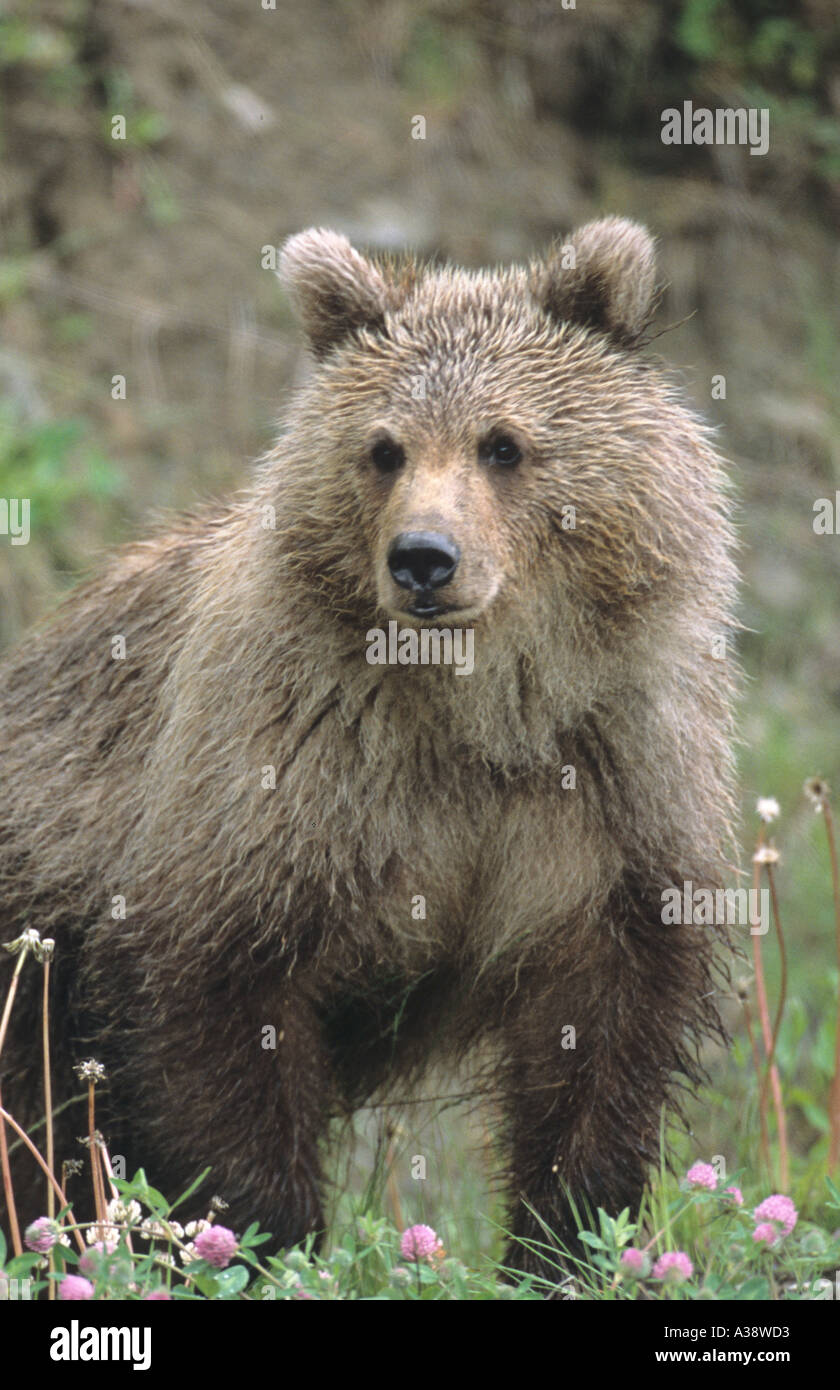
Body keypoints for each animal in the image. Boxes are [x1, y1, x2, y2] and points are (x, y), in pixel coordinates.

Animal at [0, 217, 738, 1281]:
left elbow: (597, 1040)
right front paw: (264, 1239)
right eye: (384, 449)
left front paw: (565, 1243)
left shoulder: (611, 790)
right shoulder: (286, 773)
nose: (424, 558)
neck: (480, 707)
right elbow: (225, 1015)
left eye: (503, 444)